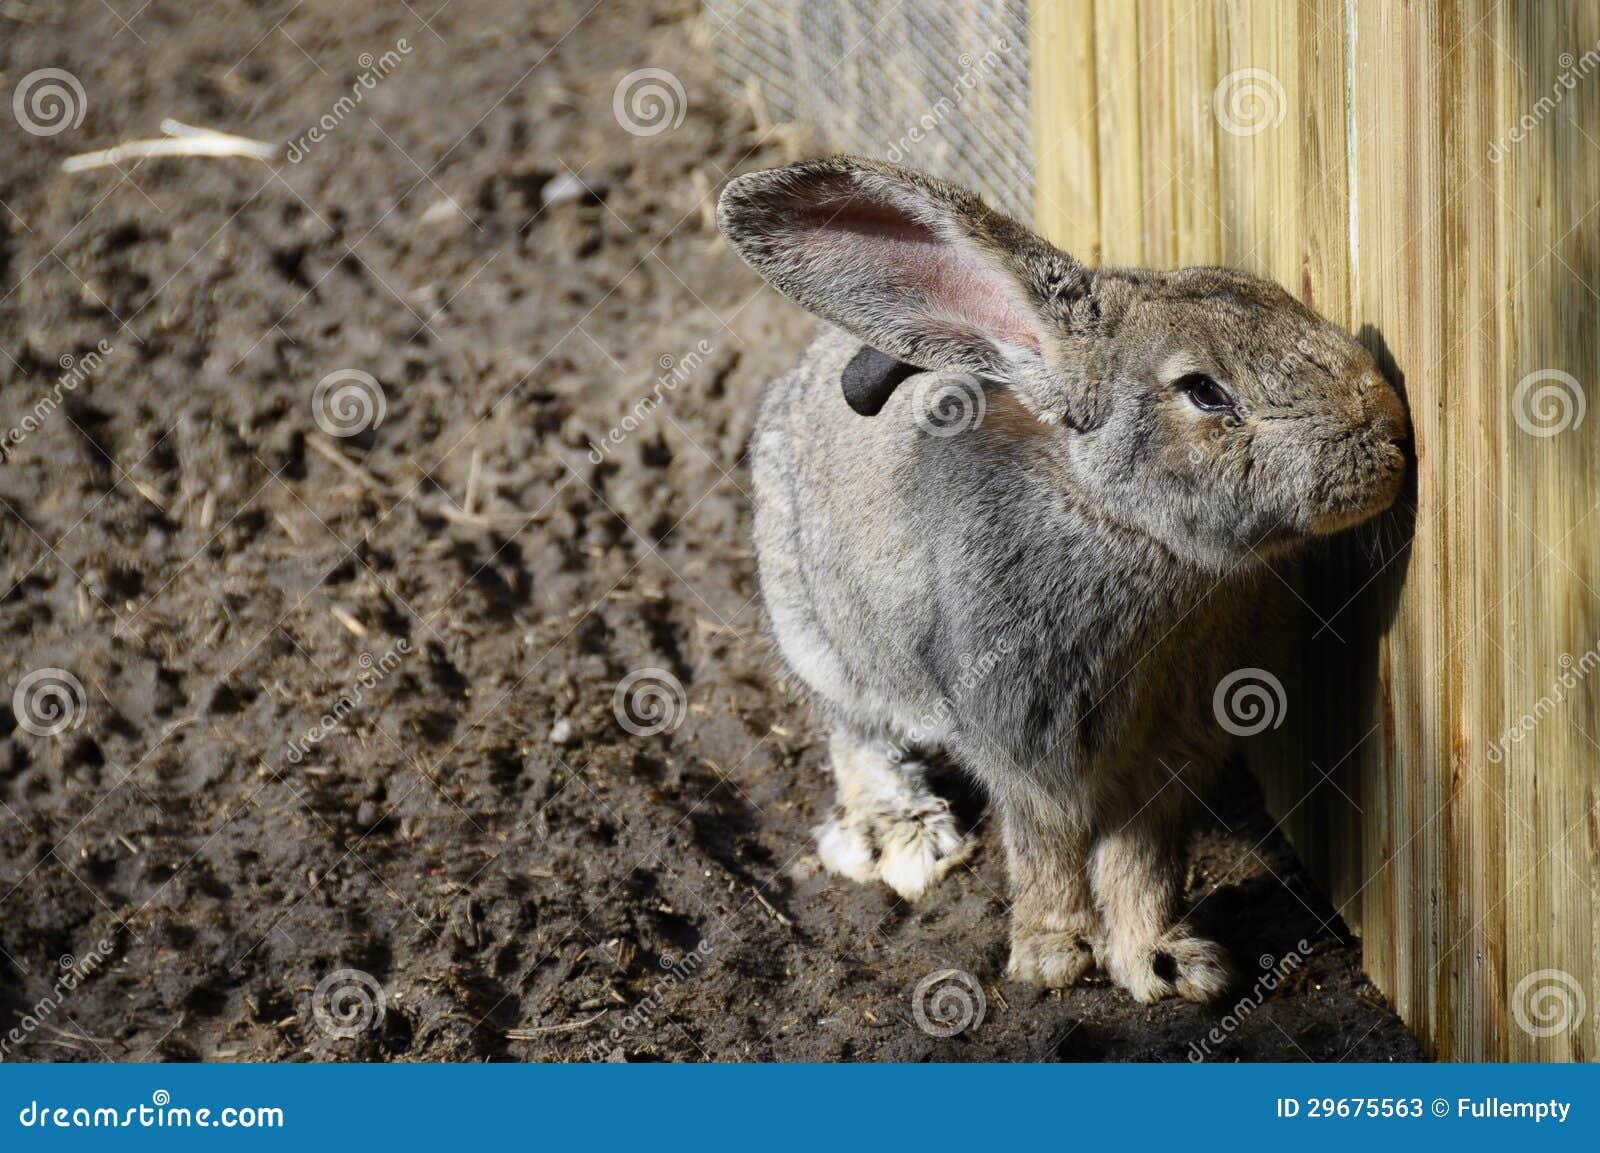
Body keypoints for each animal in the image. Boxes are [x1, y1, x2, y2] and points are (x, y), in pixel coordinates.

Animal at [716, 157, 1408, 1004]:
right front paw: (1056, 954)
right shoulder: (1024, 745)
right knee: (856, 735)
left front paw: (1167, 963)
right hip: (817, 635)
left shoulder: (1171, 755)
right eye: (1205, 392)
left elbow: (1144, 861)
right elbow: (1045, 848)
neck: (1123, 527)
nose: (1389, 430)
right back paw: (905, 838)